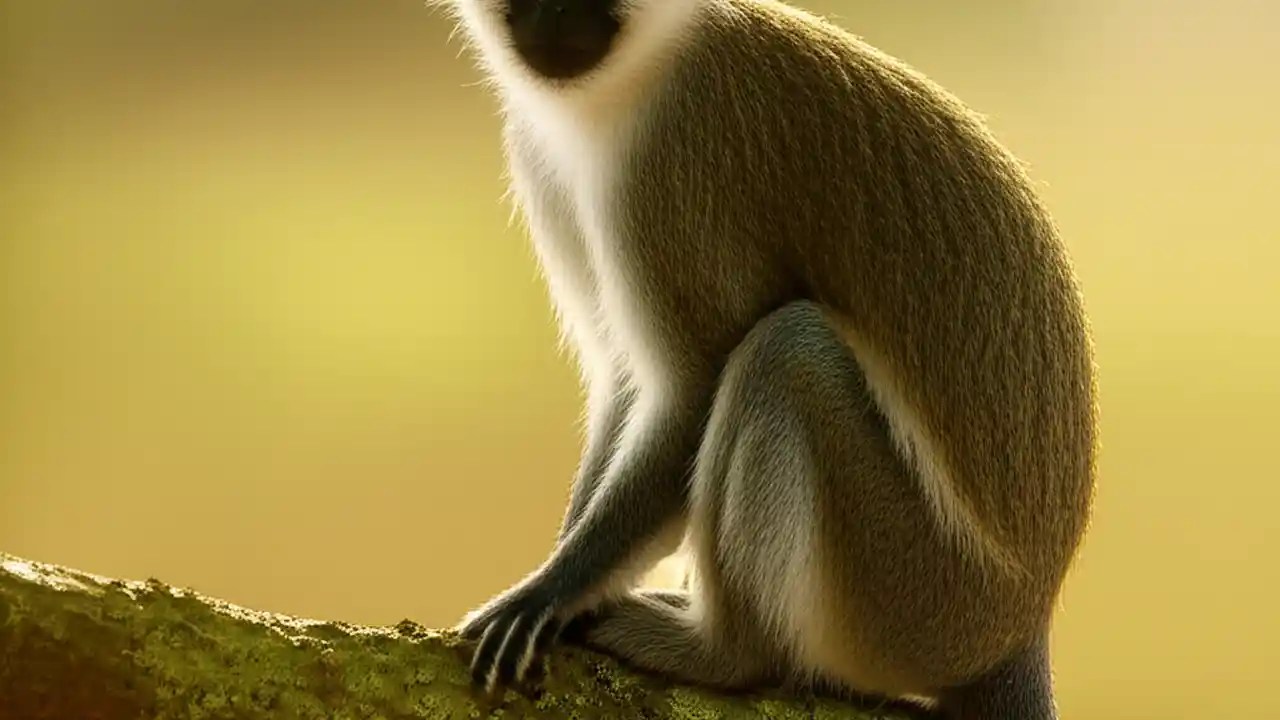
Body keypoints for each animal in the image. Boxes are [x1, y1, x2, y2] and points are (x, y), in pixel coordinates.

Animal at [437, 0, 1097, 717]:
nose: (556, 29)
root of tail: (1017, 630)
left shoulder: (677, 163)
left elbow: (692, 385)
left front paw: (554, 592)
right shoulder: (538, 159)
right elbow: (623, 381)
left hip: (912, 594)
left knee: (785, 350)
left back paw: (724, 653)